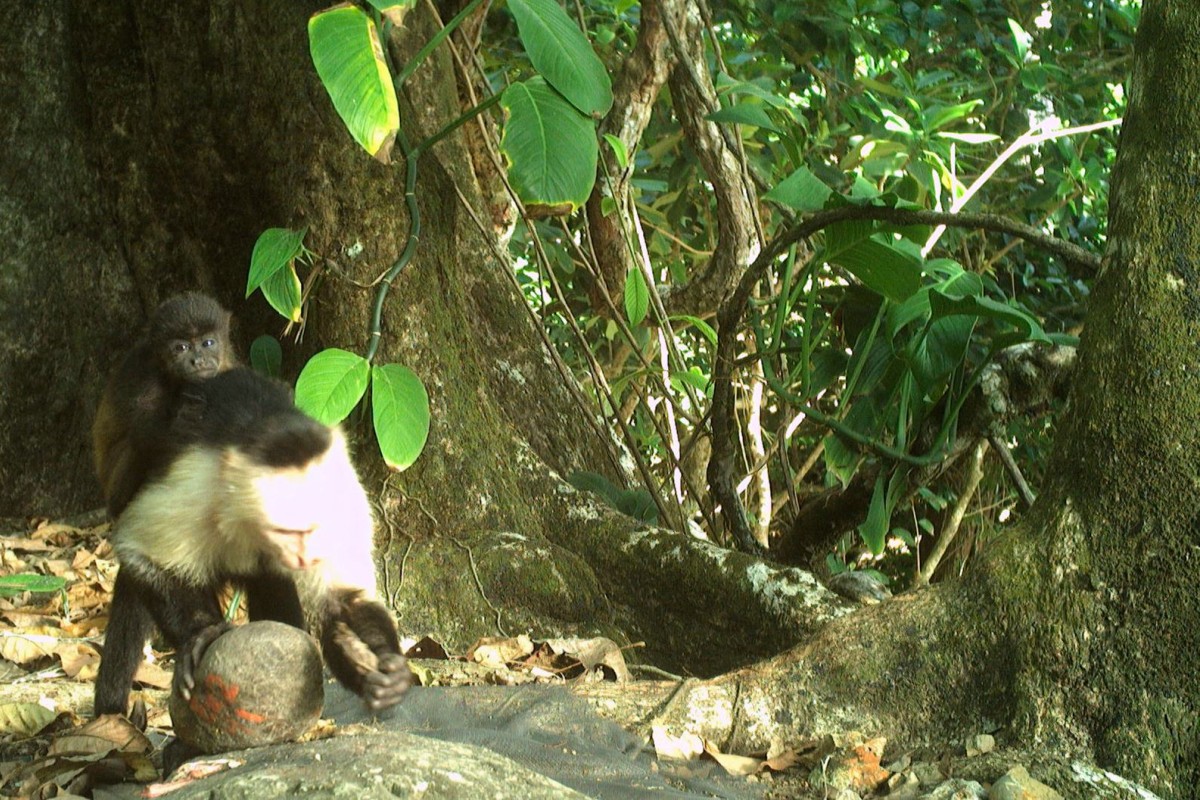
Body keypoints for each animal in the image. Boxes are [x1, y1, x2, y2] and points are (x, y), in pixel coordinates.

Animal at [92, 292, 237, 518]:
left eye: (208, 343)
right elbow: (145, 431)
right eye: (181, 348)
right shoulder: (145, 372)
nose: (198, 361)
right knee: (137, 445)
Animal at [93, 367, 412, 720]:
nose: (306, 558)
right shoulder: (196, 483)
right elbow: (140, 551)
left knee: (274, 587)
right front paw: (204, 632)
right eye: (286, 532)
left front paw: (386, 668)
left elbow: (346, 599)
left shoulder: (347, 495)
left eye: (314, 530)